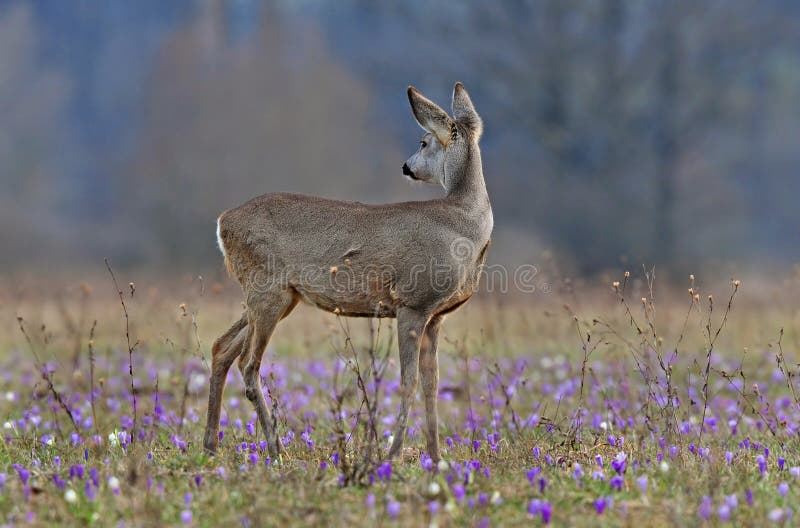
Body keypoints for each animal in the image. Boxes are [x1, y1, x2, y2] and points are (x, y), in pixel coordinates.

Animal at [203, 82, 492, 463]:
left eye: (423, 142)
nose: (406, 166)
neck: (467, 227)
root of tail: (223, 221)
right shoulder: (412, 302)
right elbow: (409, 382)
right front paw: (393, 455)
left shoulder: (437, 315)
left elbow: (432, 384)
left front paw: (436, 457)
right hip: (267, 287)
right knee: (248, 365)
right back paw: (276, 450)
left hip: (279, 296)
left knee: (222, 347)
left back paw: (210, 446)